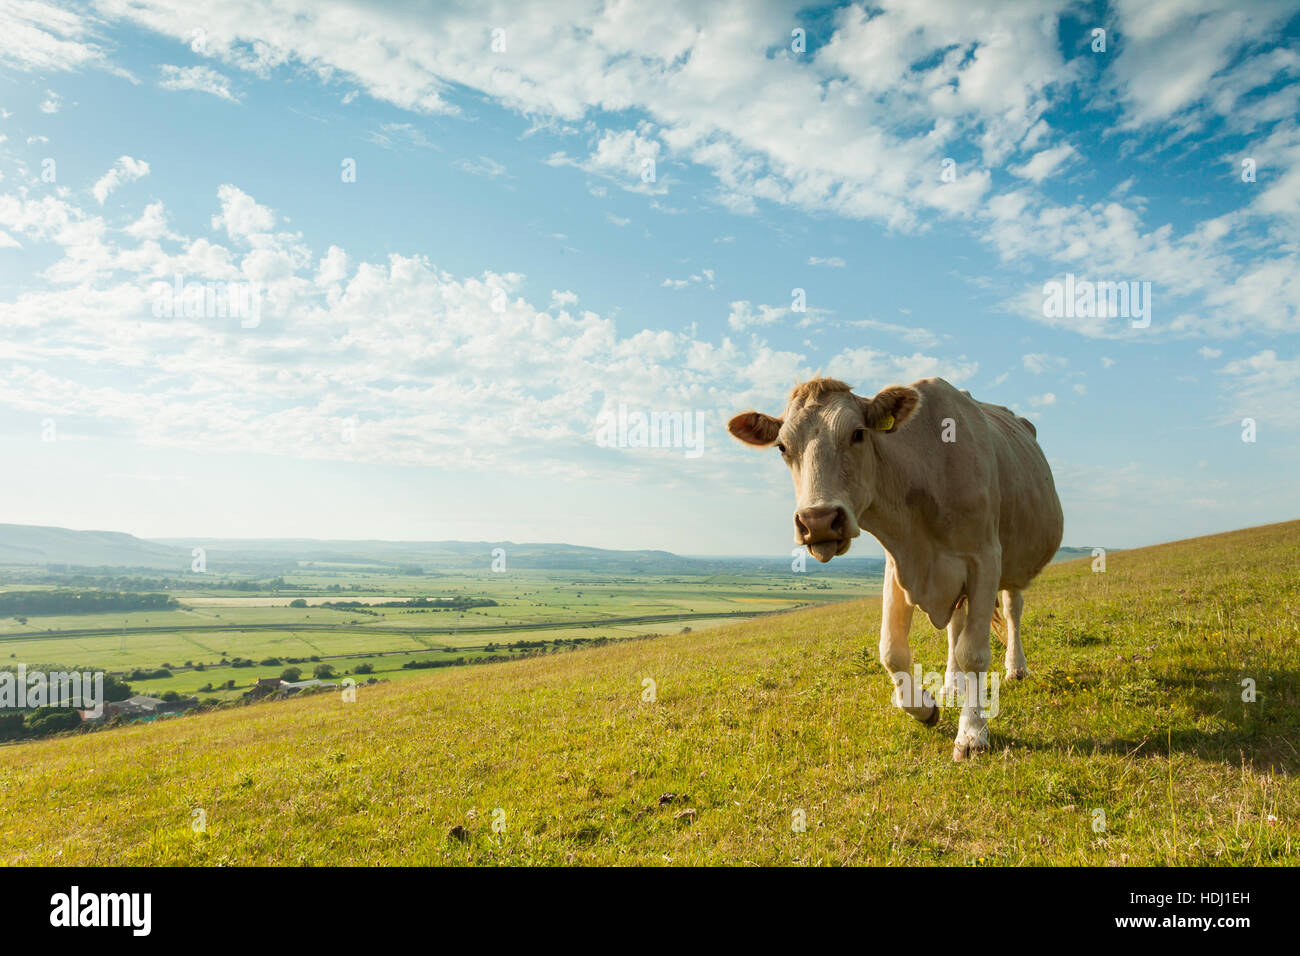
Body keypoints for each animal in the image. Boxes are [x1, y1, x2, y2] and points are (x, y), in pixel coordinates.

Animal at [727, 376, 1063, 760]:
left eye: (858, 433)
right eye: (782, 447)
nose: (818, 520)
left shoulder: (984, 558)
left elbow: (974, 653)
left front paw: (972, 733)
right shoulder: (898, 565)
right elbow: (892, 651)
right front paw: (925, 707)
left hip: (1012, 560)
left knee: (1011, 609)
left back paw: (1016, 668)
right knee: (955, 625)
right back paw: (952, 686)